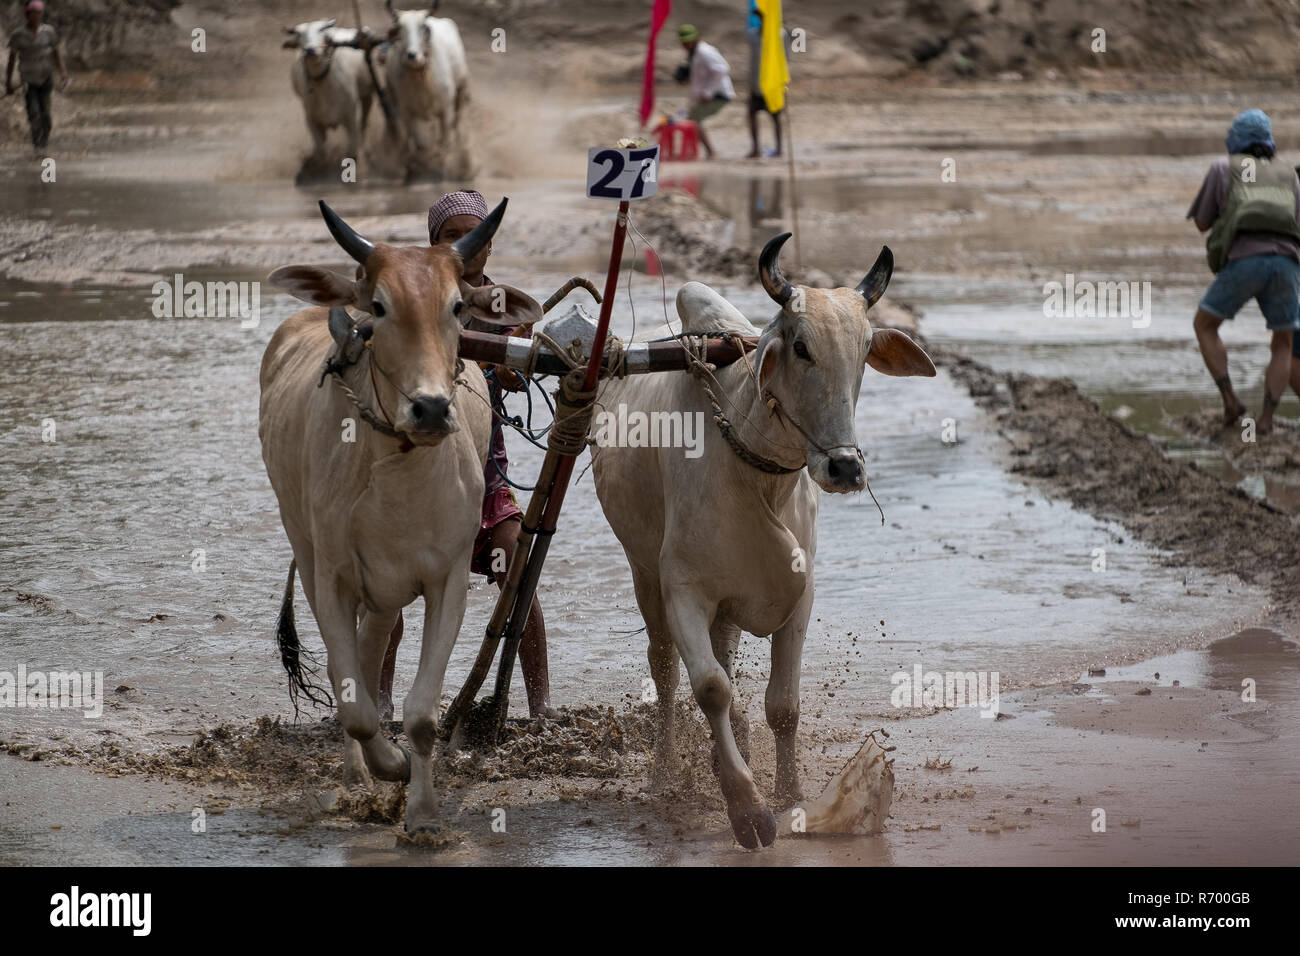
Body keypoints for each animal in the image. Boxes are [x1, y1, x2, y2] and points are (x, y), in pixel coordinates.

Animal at [260, 198, 542, 836]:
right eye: (380, 307)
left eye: (457, 306)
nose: (431, 408)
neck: (398, 471)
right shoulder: (332, 577)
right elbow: (355, 705)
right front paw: (386, 768)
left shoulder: (446, 581)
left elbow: (420, 713)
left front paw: (424, 813)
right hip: (308, 554)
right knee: (354, 676)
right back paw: (356, 776)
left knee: (373, 650)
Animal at [283, 18, 374, 171]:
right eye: (300, 35)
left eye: (322, 33)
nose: (310, 50)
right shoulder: (311, 120)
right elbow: (321, 150)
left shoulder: (350, 117)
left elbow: (353, 151)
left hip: (367, 93)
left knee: (365, 118)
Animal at [383, 2, 470, 178]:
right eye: (400, 27)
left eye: (422, 26)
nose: (412, 55)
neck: (421, 78)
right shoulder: (406, 111)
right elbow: (415, 140)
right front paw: (414, 166)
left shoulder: (446, 109)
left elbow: (445, 141)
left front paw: (443, 168)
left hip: (461, 89)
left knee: (457, 122)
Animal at [590, 234, 936, 849]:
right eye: (800, 347)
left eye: (864, 350)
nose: (845, 467)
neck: (756, 473)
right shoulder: (683, 590)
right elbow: (709, 688)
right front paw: (747, 808)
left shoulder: (800, 594)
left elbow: (783, 705)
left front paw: (789, 791)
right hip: (642, 571)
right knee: (664, 667)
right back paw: (663, 773)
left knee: (724, 655)